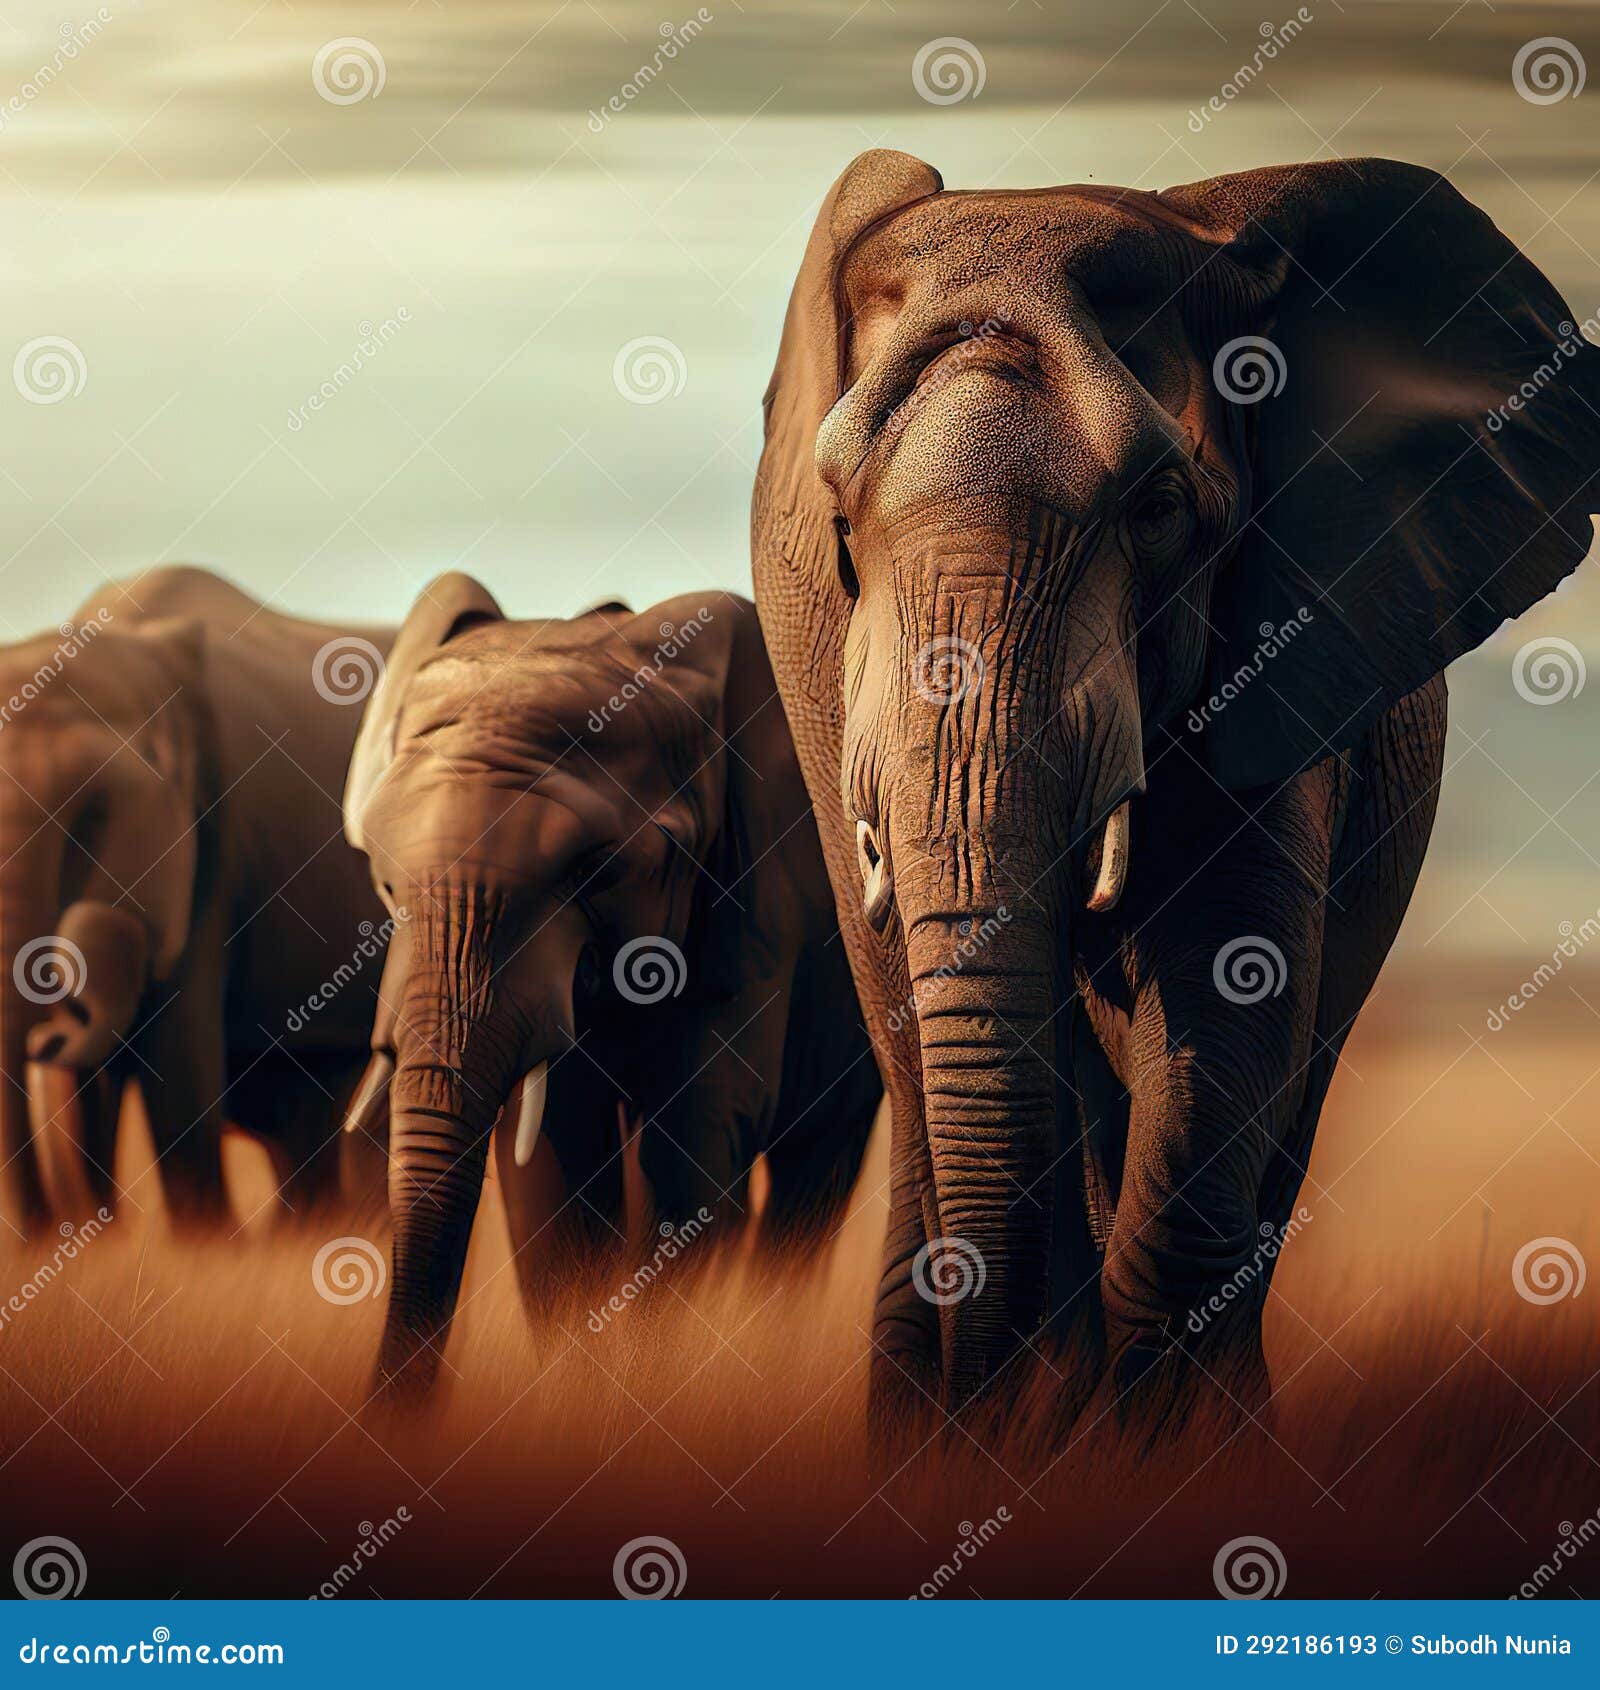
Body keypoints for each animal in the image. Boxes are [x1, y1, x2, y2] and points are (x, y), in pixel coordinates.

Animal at [340, 574, 880, 1396]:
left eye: (599, 868)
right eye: (385, 882)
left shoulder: (757, 903)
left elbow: (692, 1147)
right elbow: (549, 1172)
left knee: (813, 1175)